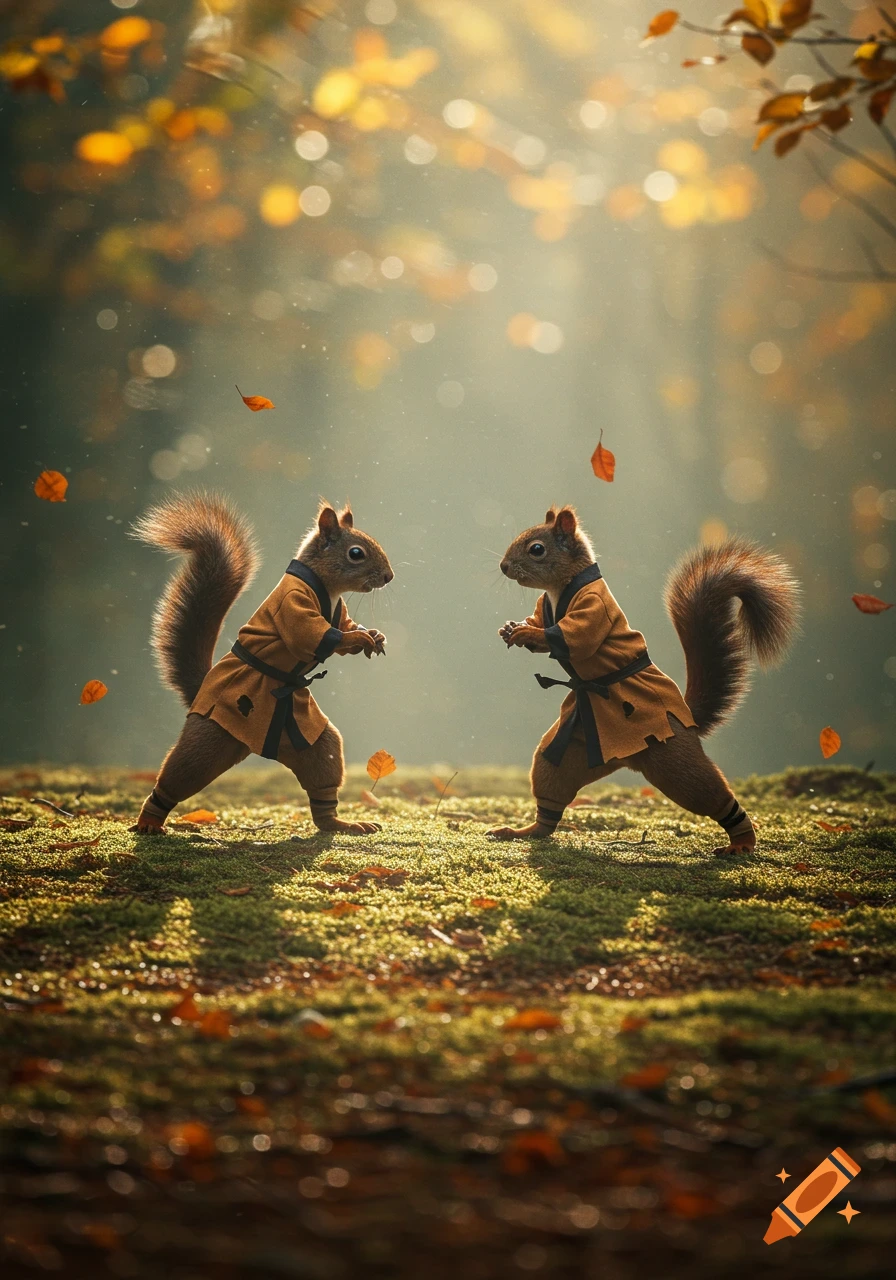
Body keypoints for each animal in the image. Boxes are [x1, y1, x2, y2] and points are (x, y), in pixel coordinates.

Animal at [130, 492, 393, 836]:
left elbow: (344, 624)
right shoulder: (293, 605)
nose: (389, 576)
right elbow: (310, 634)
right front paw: (359, 639)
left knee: (323, 776)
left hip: (311, 739)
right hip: (207, 737)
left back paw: (342, 823)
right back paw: (149, 820)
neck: (327, 588)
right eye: (356, 553)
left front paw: (373, 635)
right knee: (179, 776)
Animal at [490, 505, 800, 854]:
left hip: (673, 760)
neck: (559, 589)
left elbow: (575, 637)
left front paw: (527, 634)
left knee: (708, 794)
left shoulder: (593, 607)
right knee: (550, 787)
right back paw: (523, 831)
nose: (503, 567)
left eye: (537, 549)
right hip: (569, 746)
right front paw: (514, 628)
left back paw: (742, 840)